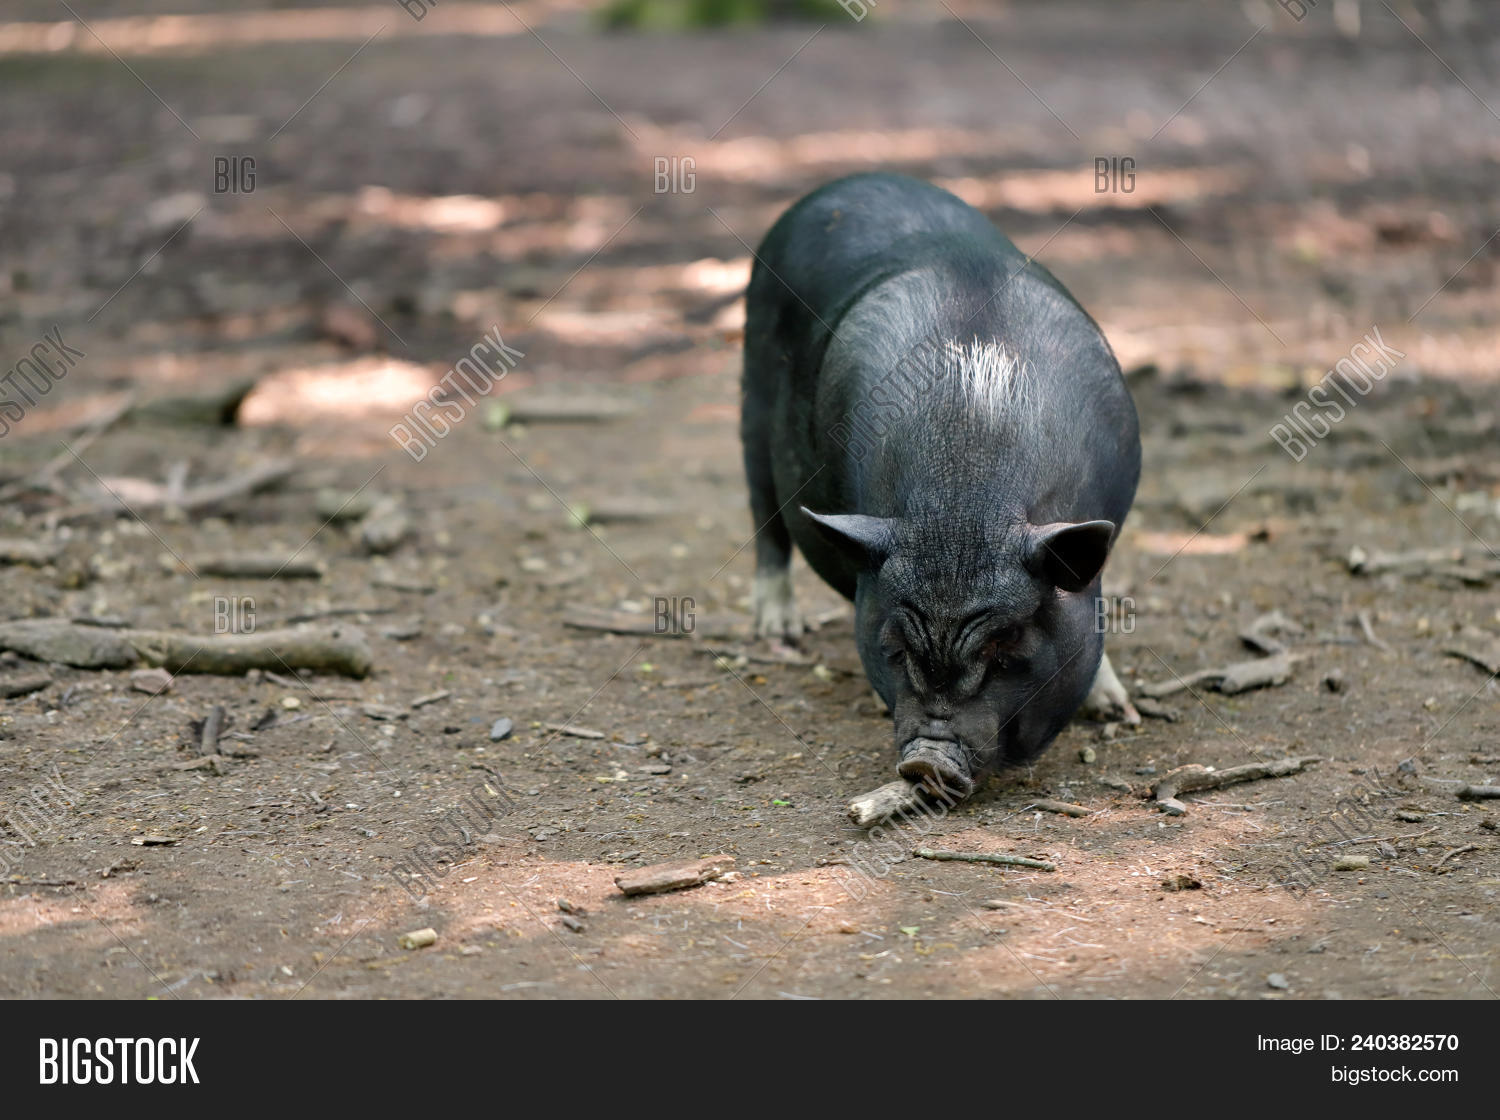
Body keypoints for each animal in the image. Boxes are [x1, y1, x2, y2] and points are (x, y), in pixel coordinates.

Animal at [739, 172, 1140, 819]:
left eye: (1005, 650)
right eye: (898, 649)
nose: (929, 760)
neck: (962, 498)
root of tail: (846, 181)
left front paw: (1119, 711)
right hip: (750, 400)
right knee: (764, 521)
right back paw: (779, 634)